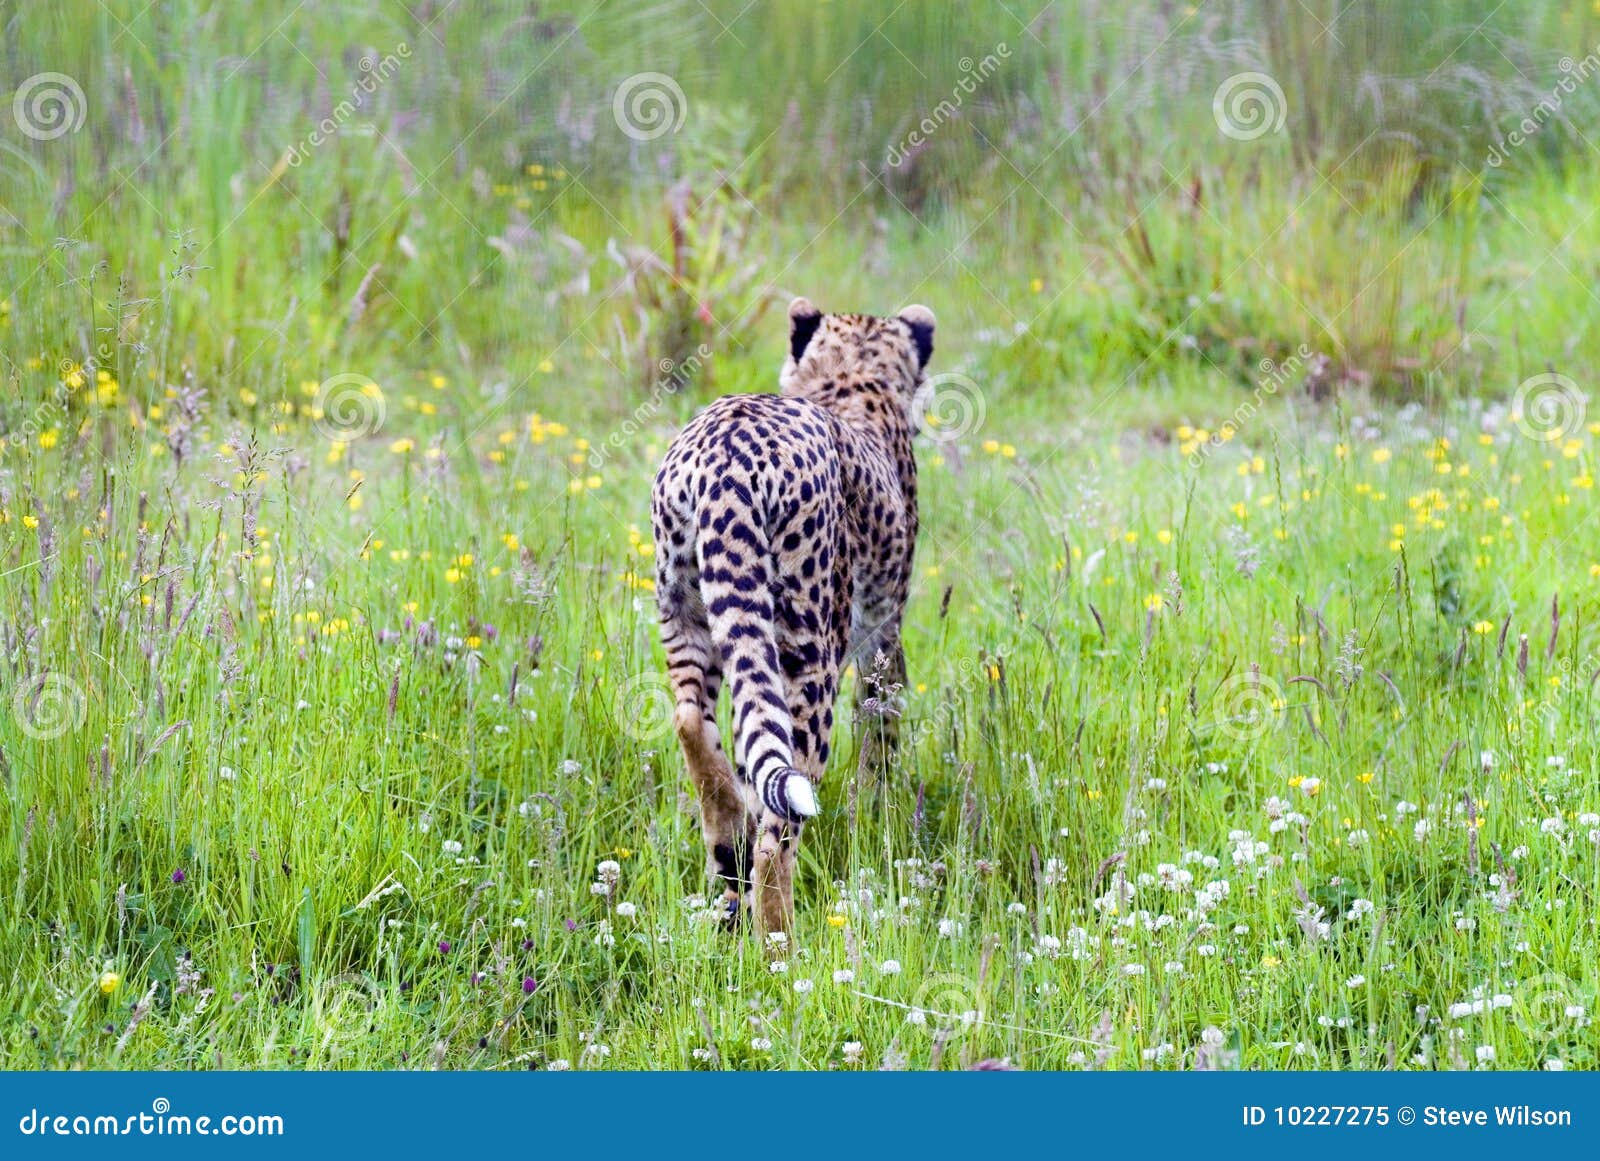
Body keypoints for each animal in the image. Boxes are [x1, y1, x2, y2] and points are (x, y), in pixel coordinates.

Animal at [650, 296, 935, 935]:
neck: (849, 374)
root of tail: (726, 451)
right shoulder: (882, 637)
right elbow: (880, 732)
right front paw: (875, 814)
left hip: (689, 613)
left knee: (693, 720)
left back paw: (726, 852)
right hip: (809, 655)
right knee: (778, 834)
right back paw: (779, 938)